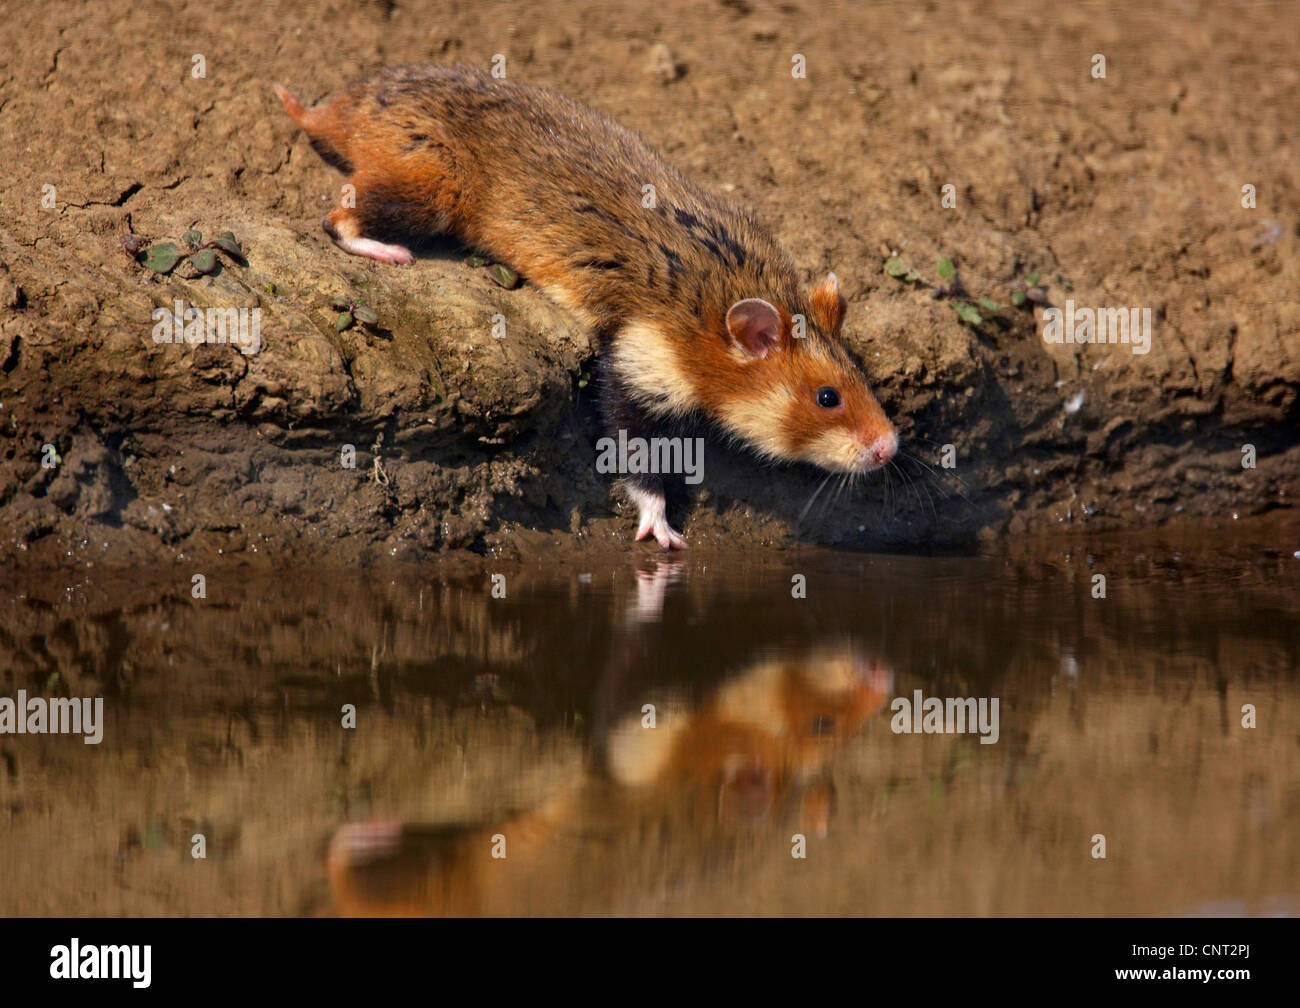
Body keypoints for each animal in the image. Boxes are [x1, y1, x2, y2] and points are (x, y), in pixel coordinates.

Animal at [276, 64, 898, 548]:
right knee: (338, 218)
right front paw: (663, 533)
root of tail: (338, 108)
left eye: (861, 378)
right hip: (428, 184)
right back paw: (392, 253)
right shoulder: (636, 361)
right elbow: (637, 458)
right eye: (827, 397)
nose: (891, 447)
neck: (710, 303)